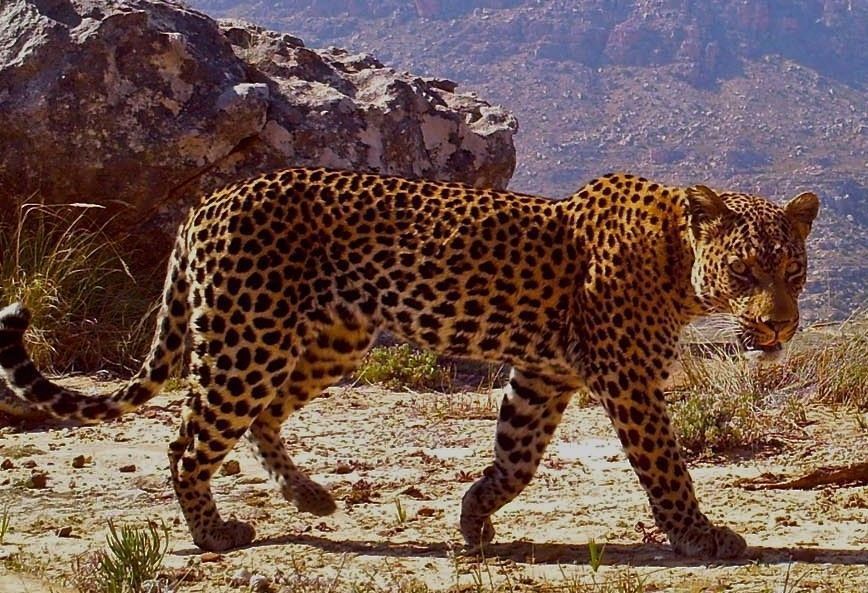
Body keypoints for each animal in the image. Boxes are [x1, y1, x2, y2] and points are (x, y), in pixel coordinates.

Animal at [0, 167, 819, 557]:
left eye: (793, 271)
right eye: (746, 271)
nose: (781, 322)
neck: (679, 261)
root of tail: (209, 200)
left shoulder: (545, 372)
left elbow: (516, 454)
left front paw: (475, 516)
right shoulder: (630, 380)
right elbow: (667, 468)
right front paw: (701, 536)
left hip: (328, 341)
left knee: (262, 416)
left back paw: (309, 497)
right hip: (247, 338)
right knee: (187, 440)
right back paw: (215, 532)